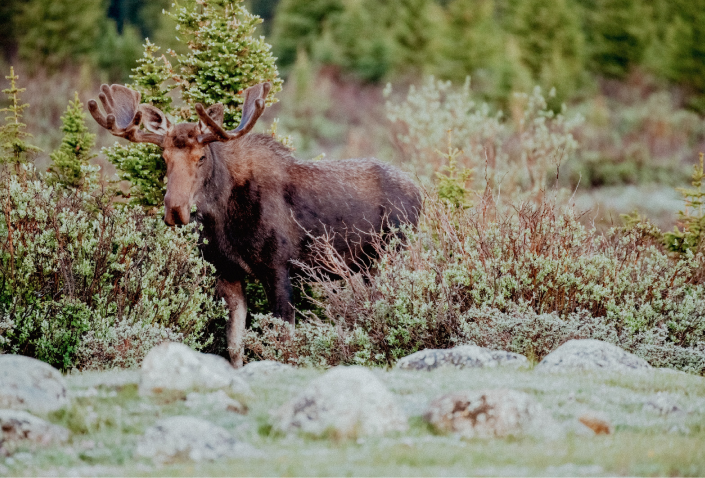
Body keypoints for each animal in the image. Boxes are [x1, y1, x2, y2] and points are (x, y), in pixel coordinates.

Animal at [88, 82, 421, 367]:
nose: (175, 209)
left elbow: (283, 340)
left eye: (201, 157)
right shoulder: (227, 272)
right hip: (368, 265)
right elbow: (235, 345)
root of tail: (422, 193)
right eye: (164, 156)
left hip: (393, 253)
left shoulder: (278, 267)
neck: (224, 222)